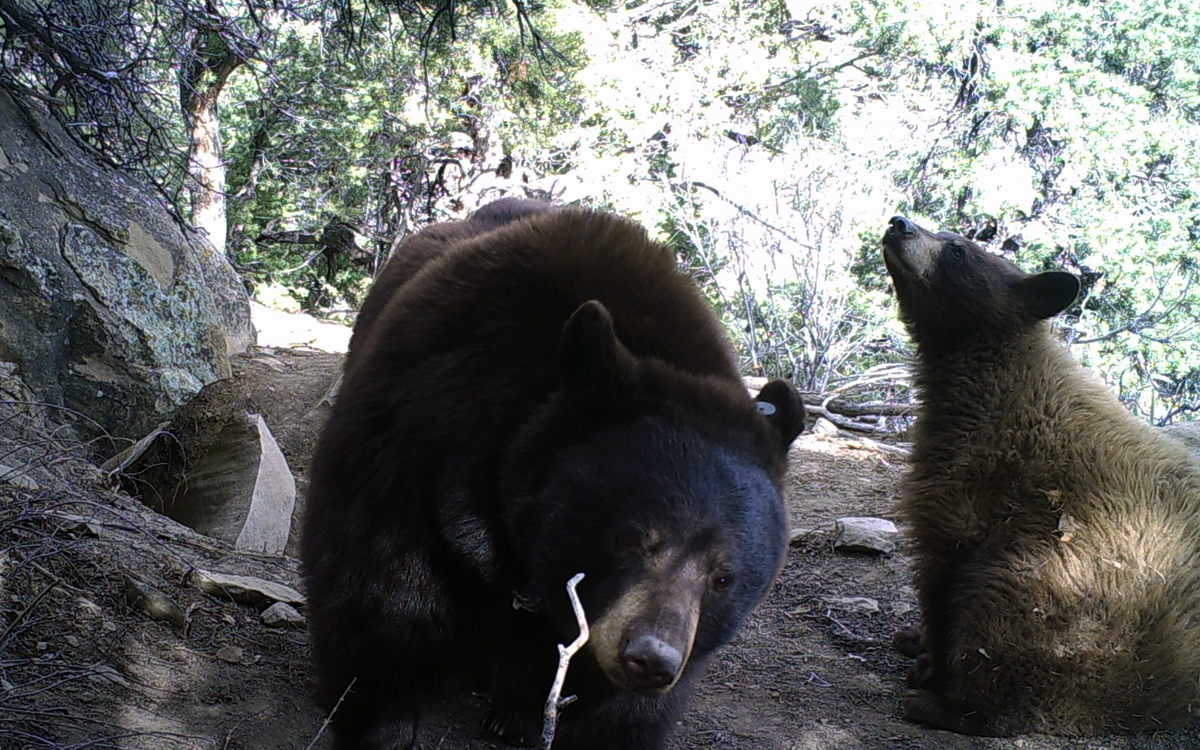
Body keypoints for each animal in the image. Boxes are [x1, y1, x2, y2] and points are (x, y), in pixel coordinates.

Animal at [302, 199, 805, 750]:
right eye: (630, 538)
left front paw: (542, 717)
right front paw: (380, 722)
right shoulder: (422, 441)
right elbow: (386, 595)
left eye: (723, 577)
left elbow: (617, 705)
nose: (650, 659)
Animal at [882, 215, 1200, 736]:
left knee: (999, 616)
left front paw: (929, 660)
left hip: (1064, 586)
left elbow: (942, 563)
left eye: (958, 251)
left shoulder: (974, 472)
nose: (899, 223)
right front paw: (915, 641)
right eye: (948, 237)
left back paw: (944, 705)